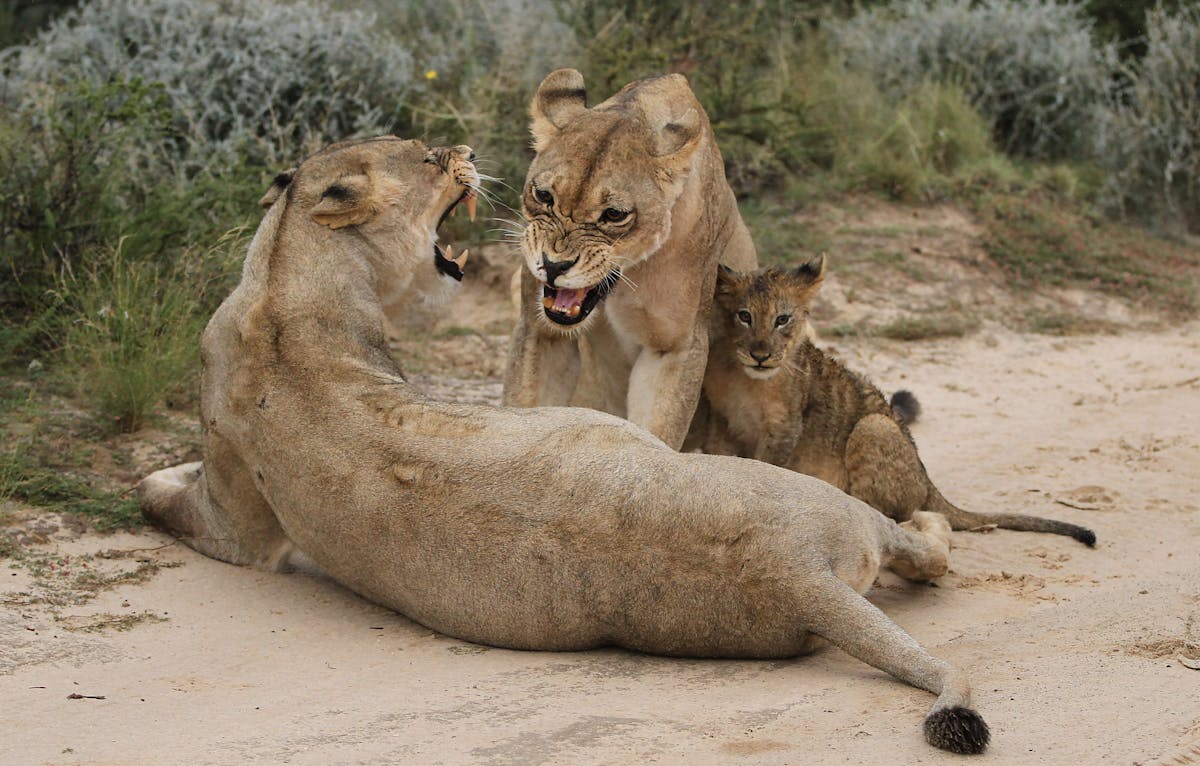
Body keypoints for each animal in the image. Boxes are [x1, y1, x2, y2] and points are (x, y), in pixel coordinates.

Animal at [137, 136, 988, 753]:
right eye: (423, 155)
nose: (463, 148)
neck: (283, 276)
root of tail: (798, 578)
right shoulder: (243, 531)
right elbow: (157, 499)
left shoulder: (245, 529)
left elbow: (158, 497)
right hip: (828, 509)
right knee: (927, 550)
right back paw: (929, 523)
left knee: (927, 549)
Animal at [502, 68, 757, 450]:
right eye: (544, 195)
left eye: (614, 214)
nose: (553, 266)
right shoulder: (540, 330)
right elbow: (523, 407)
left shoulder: (674, 347)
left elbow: (657, 434)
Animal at [703, 257, 1097, 547]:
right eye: (744, 316)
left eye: (782, 319)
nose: (761, 356)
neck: (746, 381)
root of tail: (927, 481)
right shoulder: (723, 421)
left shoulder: (785, 427)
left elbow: (766, 467)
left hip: (875, 426)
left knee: (890, 513)